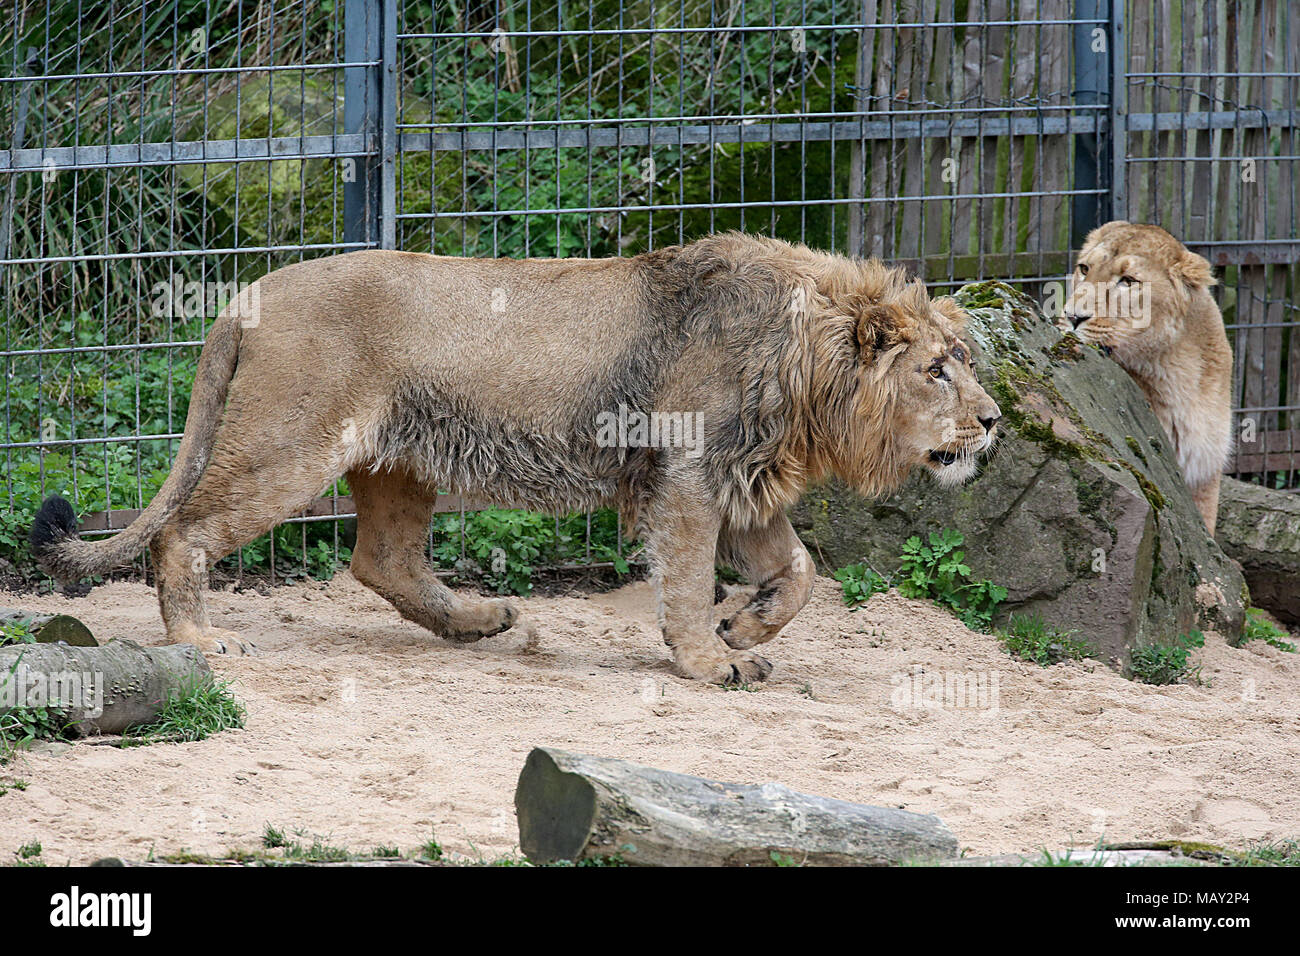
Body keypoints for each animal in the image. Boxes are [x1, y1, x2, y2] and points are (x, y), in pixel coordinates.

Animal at [30, 233, 1001, 683]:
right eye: (938, 369)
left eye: (965, 361)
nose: (992, 421)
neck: (809, 375)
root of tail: (246, 294)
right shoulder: (686, 477)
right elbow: (687, 580)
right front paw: (706, 658)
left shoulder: (742, 481)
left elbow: (798, 574)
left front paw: (745, 628)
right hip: (291, 446)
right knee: (183, 531)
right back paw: (198, 639)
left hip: (400, 461)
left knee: (379, 560)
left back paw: (478, 621)